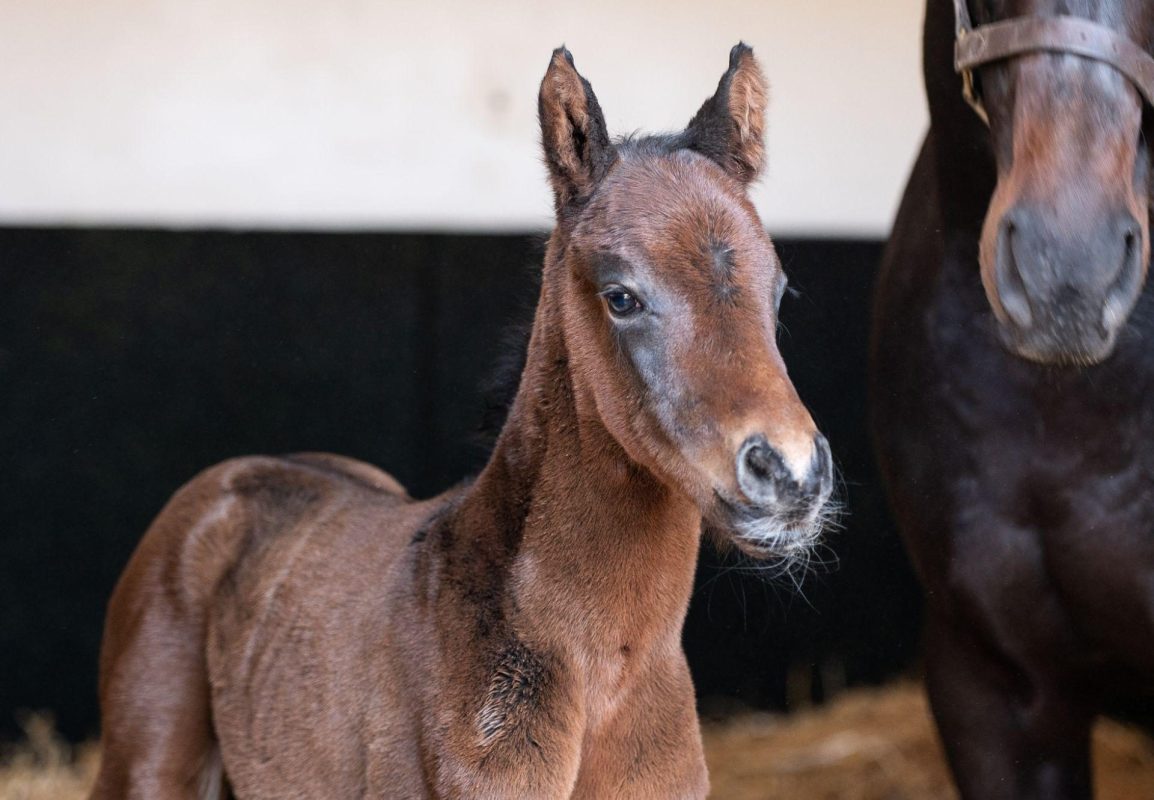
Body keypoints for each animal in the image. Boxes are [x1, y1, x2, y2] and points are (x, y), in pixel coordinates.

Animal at [88, 44, 834, 799]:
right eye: (621, 296)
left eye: (779, 290)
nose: (790, 472)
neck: (601, 673)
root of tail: (236, 475)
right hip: (142, 768)